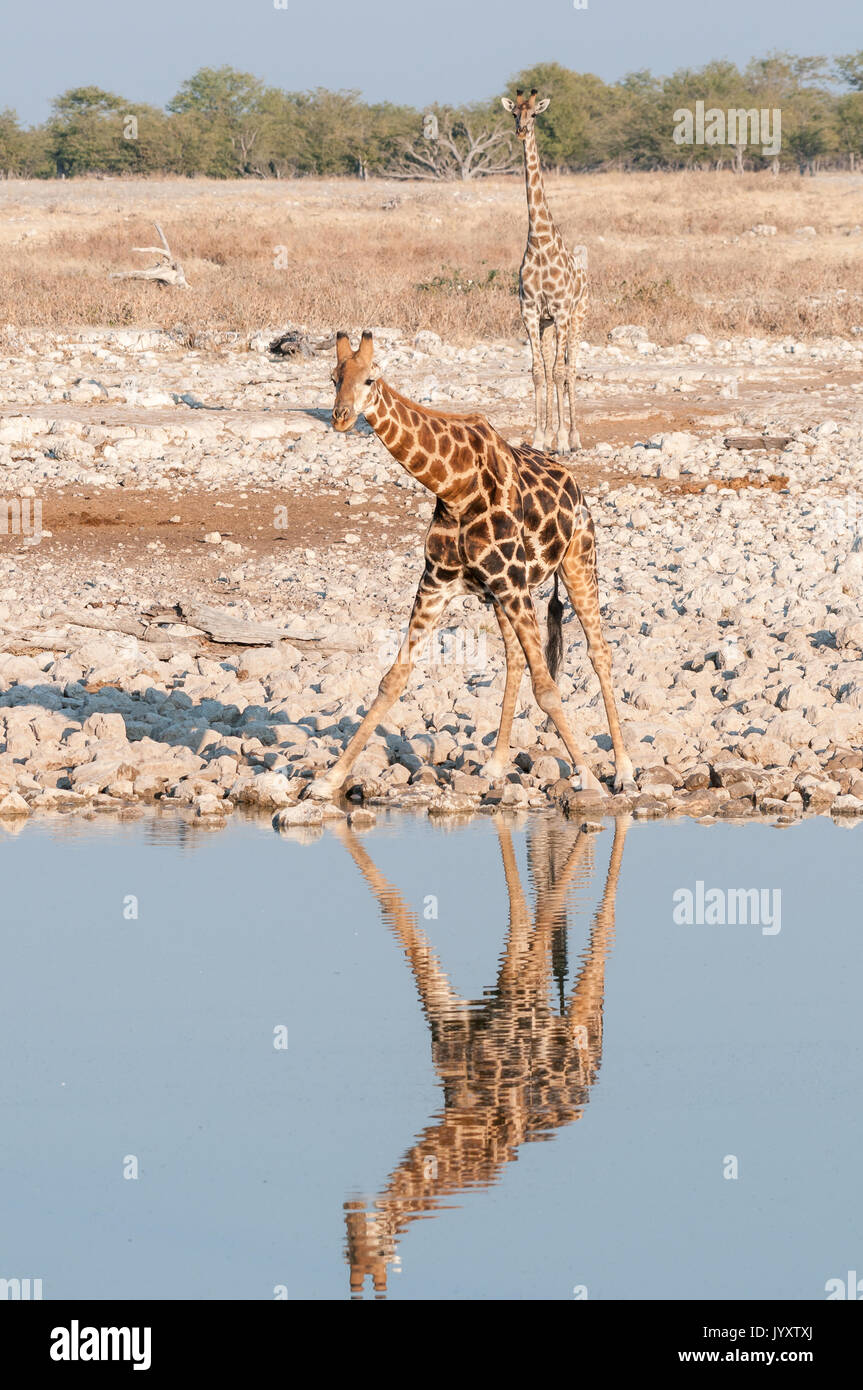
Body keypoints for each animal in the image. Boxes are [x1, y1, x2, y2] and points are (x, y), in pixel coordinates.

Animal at [306, 331, 635, 800]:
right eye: (333, 377)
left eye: (369, 379)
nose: (341, 417)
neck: (454, 487)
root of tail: (576, 485)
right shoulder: (437, 583)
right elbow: (393, 678)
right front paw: (329, 778)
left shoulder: (511, 584)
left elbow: (548, 689)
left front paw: (587, 775)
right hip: (501, 596)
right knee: (515, 660)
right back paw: (495, 766)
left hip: (578, 563)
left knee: (599, 652)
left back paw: (624, 770)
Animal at [338, 814, 629, 1296]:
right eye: (347, 1247)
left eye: (376, 1252)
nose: (352, 1210)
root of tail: (591, 1080)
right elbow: (397, 910)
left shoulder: (517, 986)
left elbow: (532, 912)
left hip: (583, 1011)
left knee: (601, 925)